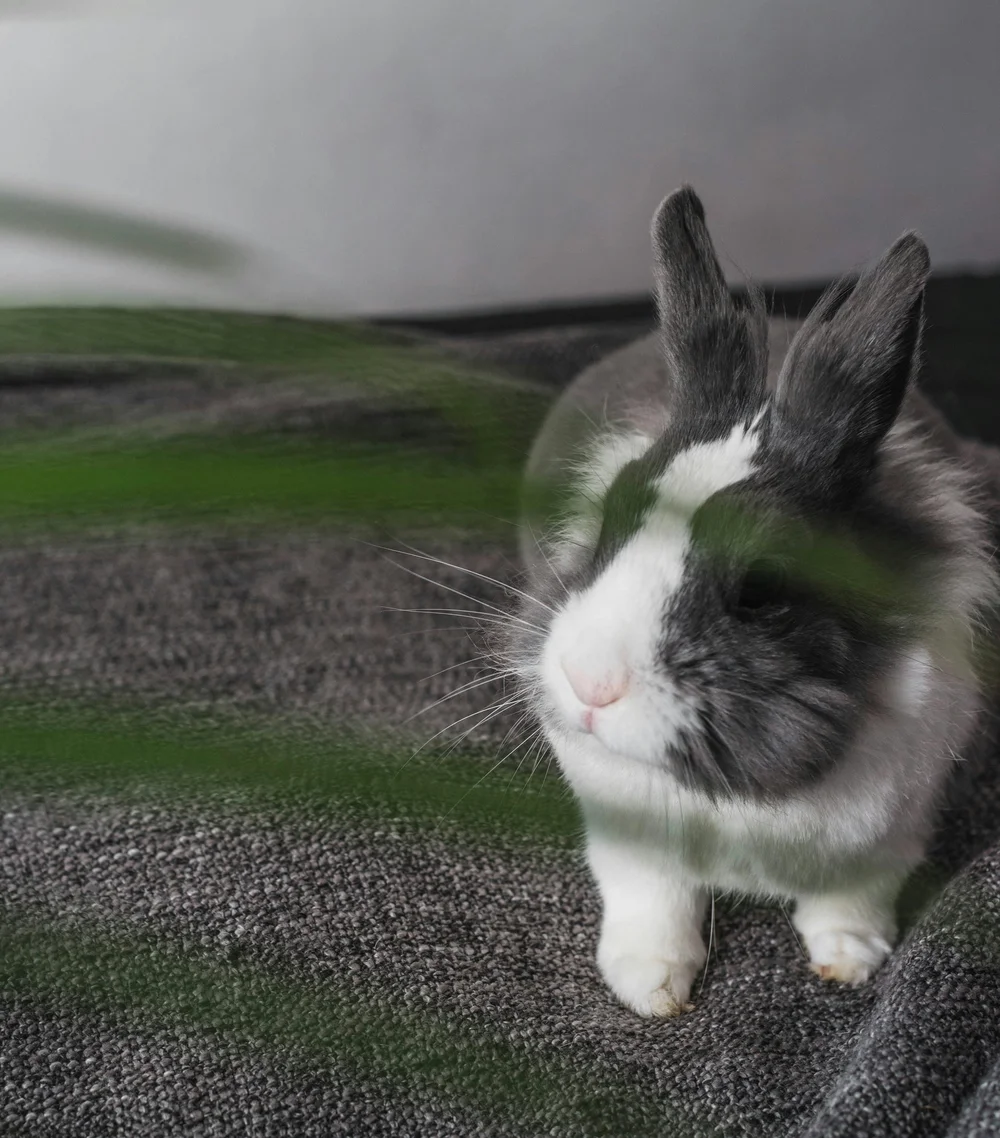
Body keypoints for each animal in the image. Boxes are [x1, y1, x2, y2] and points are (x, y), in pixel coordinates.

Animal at [505, 186, 998, 1017]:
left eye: (762, 588)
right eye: (608, 520)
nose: (589, 684)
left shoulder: (893, 831)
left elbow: (852, 900)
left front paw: (851, 962)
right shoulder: (625, 835)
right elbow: (653, 900)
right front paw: (651, 990)